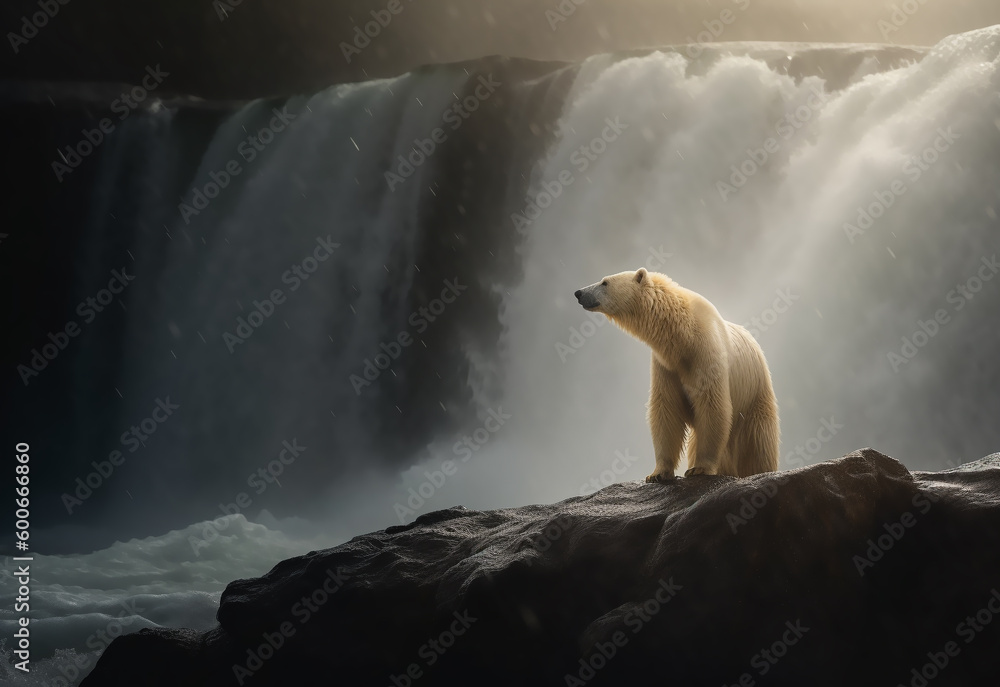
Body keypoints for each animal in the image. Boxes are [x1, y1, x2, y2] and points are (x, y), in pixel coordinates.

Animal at [574, 268, 779, 481]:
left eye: (605, 282)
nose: (579, 293)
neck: (684, 335)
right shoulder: (665, 365)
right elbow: (666, 408)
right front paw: (657, 474)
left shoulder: (706, 354)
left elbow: (712, 404)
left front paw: (700, 468)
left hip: (755, 394)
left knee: (758, 442)